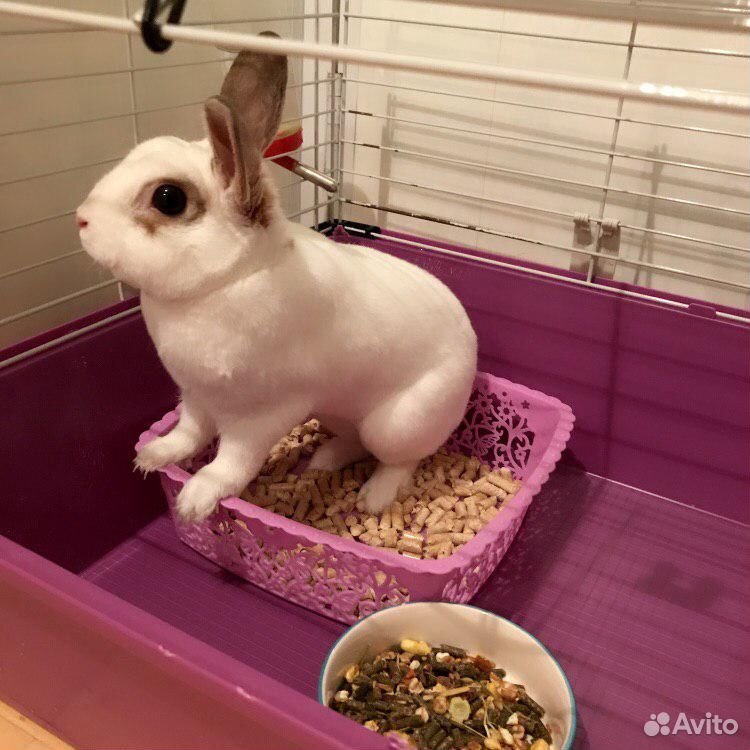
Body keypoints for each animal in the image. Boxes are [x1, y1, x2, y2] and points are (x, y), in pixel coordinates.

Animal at [76, 39, 477, 523]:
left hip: (397, 424)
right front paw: (153, 455)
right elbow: (189, 432)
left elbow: (232, 461)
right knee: (354, 441)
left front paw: (195, 499)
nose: (81, 219)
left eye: (168, 198)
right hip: (336, 412)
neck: (228, 279)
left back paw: (373, 497)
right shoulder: (195, 395)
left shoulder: (259, 416)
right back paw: (323, 460)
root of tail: (473, 356)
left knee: (400, 459)